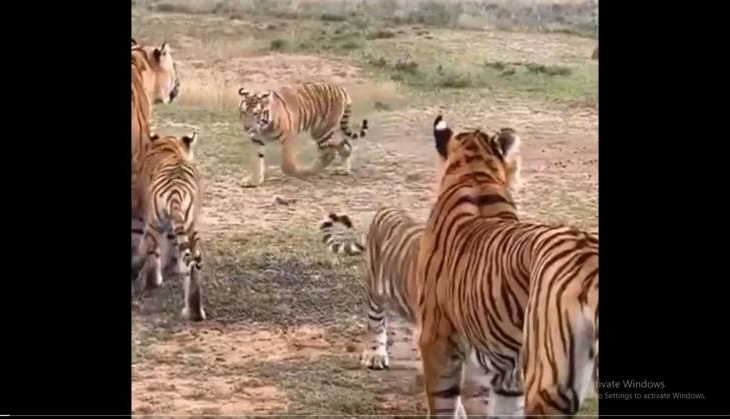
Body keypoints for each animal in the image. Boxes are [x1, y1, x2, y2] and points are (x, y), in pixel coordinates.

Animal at [131, 131, 206, 322]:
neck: (170, 145)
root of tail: (176, 191)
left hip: (154, 224)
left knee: (151, 254)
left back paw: (152, 283)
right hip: (191, 227)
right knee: (194, 263)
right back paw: (194, 311)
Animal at [237, 81, 369, 188]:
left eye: (256, 113)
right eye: (243, 112)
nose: (247, 127)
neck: (263, 127)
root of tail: (340, 89)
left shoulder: (287, 138)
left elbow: (286, 165)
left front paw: (296, 173)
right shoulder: (256, 140)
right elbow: (256, 162)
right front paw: (254, 181)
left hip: (321, 130)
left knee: (329, 153)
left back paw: (308, 171)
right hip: (331, 133)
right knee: (345, 147)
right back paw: (343, 170)